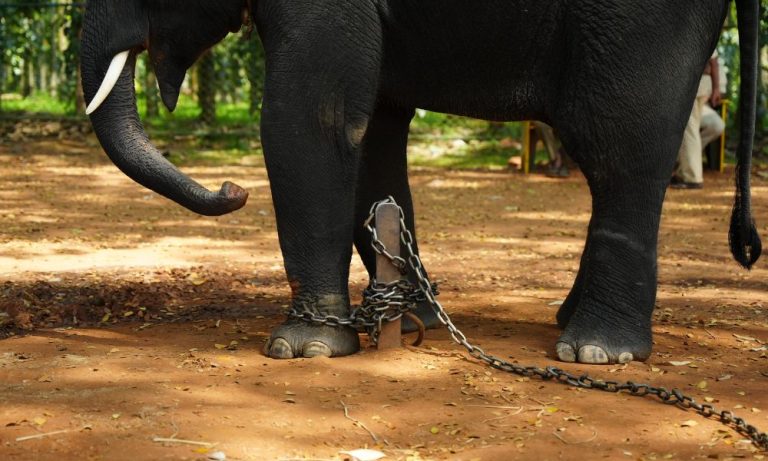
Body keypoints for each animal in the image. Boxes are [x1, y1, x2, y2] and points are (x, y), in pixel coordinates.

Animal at [80, 0, 762, 364]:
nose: (232, 190)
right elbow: (373, 131)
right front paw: (416, 323)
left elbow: (312, 120)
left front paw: (306, 350)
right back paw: (570, 324)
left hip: (641, 20)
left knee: (619, 147)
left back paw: (597, 353)